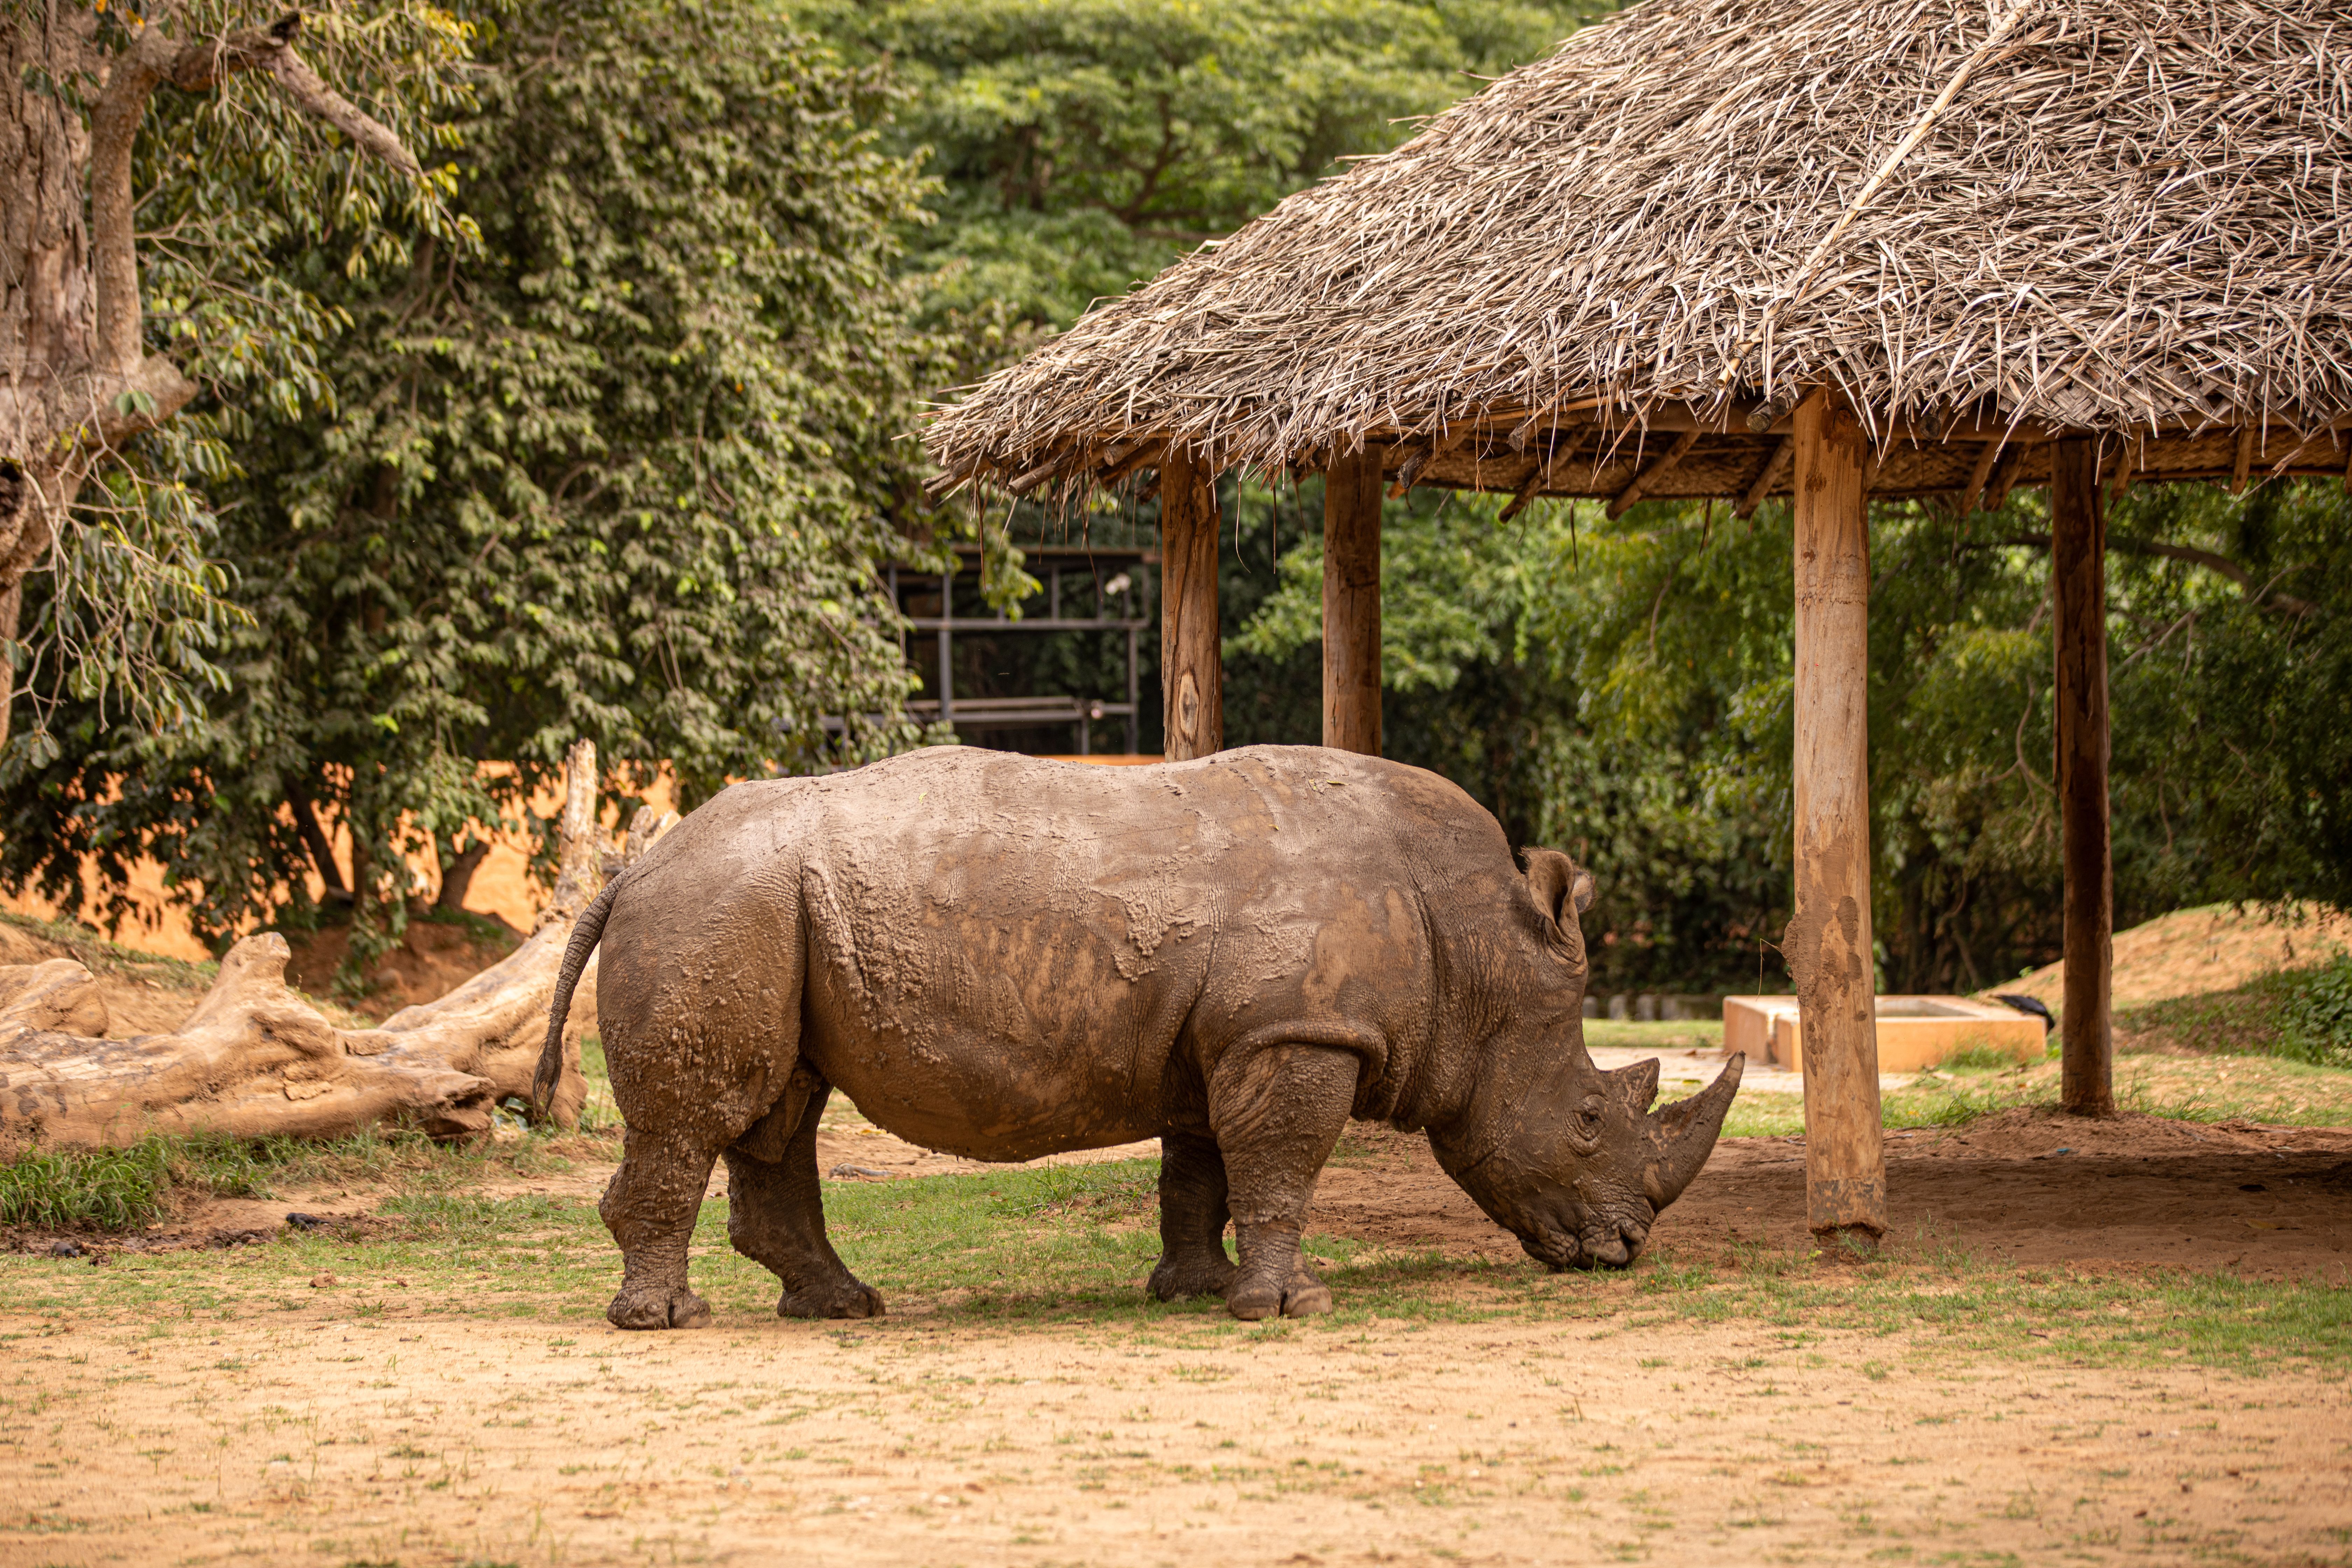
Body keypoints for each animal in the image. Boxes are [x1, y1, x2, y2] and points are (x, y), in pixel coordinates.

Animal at [534, 745, 1741, 1329]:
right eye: (1586, 1120)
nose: (1625, 1249)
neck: (1476, 949)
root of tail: (633, 866)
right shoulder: (1298, 1033)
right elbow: (1281, 1166)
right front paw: (1289, 1306)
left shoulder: (1237, 1037)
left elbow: (1202, 1170)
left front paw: (1196, 1292)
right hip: (717, 901)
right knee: (710, 1113)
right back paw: (666, 1322)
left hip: (755, 903)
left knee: (780, 1107)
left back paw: (842, 1307)